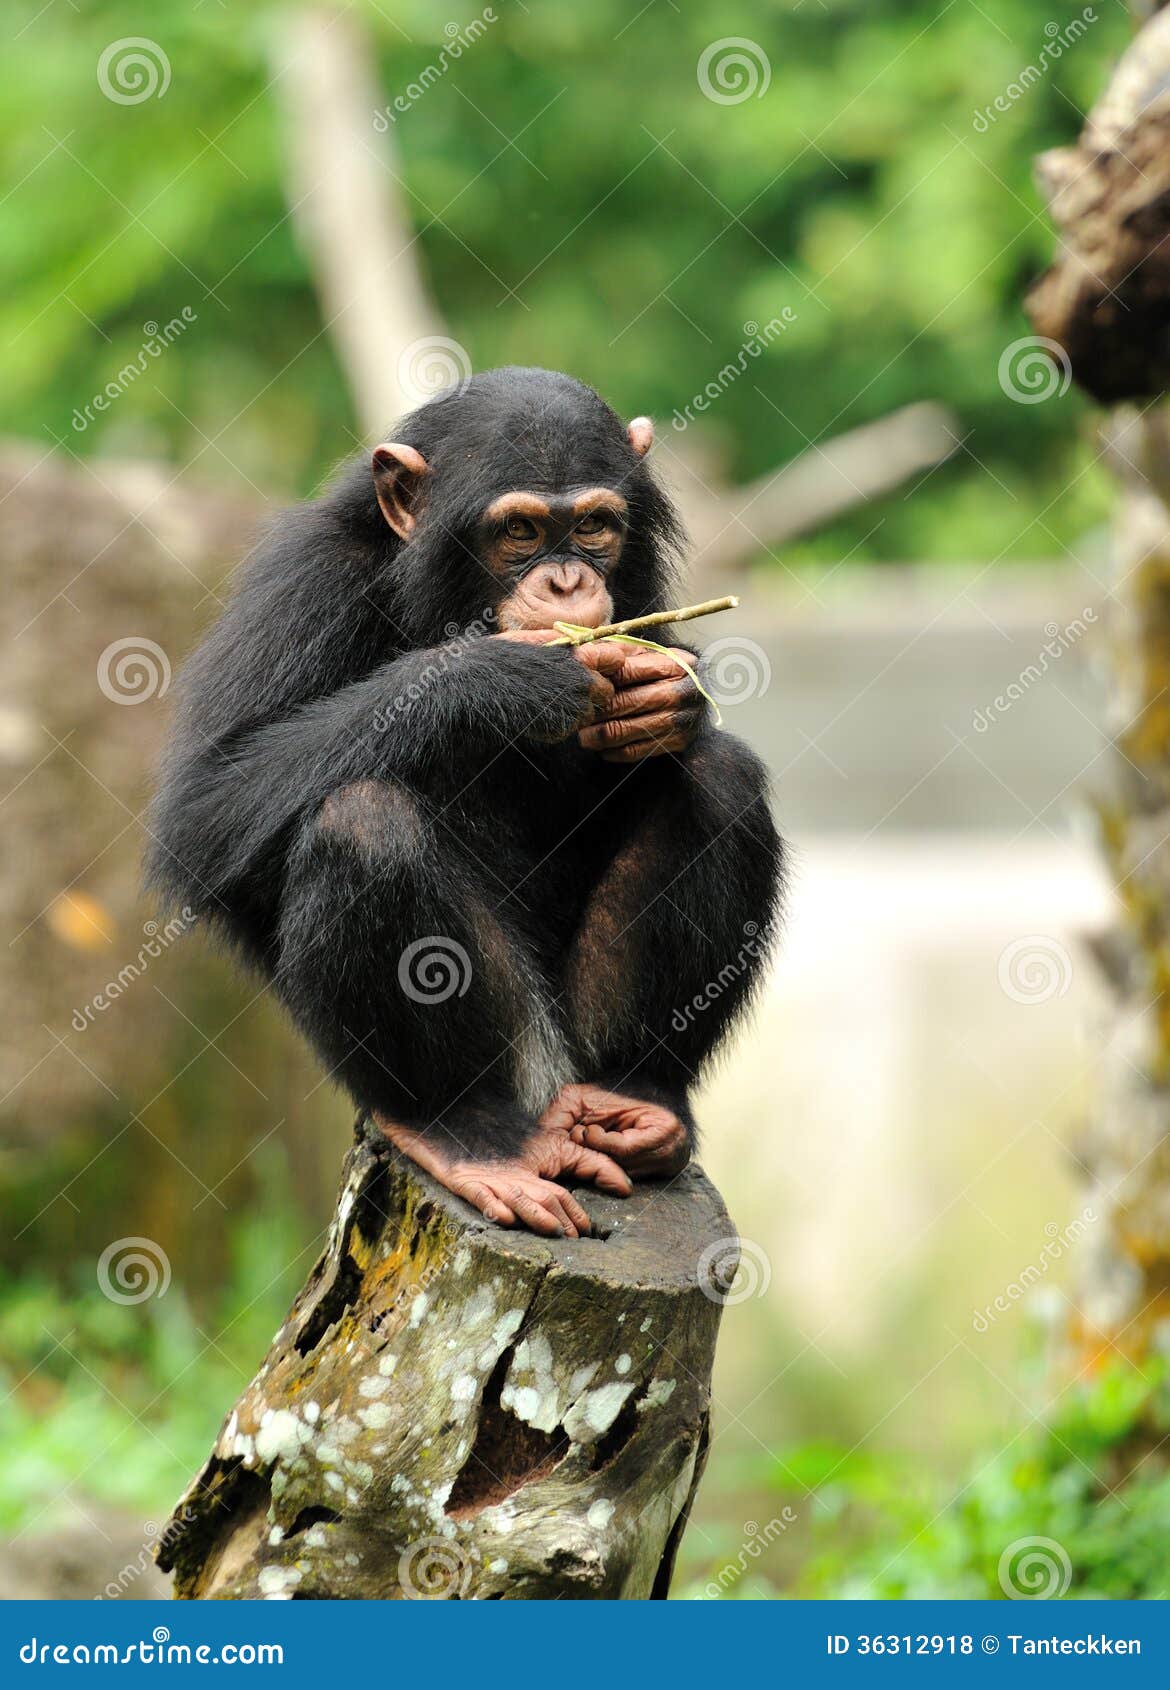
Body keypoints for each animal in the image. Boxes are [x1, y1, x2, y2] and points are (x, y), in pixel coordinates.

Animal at [147, 367, 783, 1238]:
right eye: (519, 531)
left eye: (594, 525)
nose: (566, 581)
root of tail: (550, 1093)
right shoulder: (303, 580)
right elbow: (205, 807)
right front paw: (495, 679)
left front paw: (670, 690)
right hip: (506, 1048)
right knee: (362, 824)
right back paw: (459, 1130)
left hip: (580, 1043)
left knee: (722, 781)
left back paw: (644, 1099)